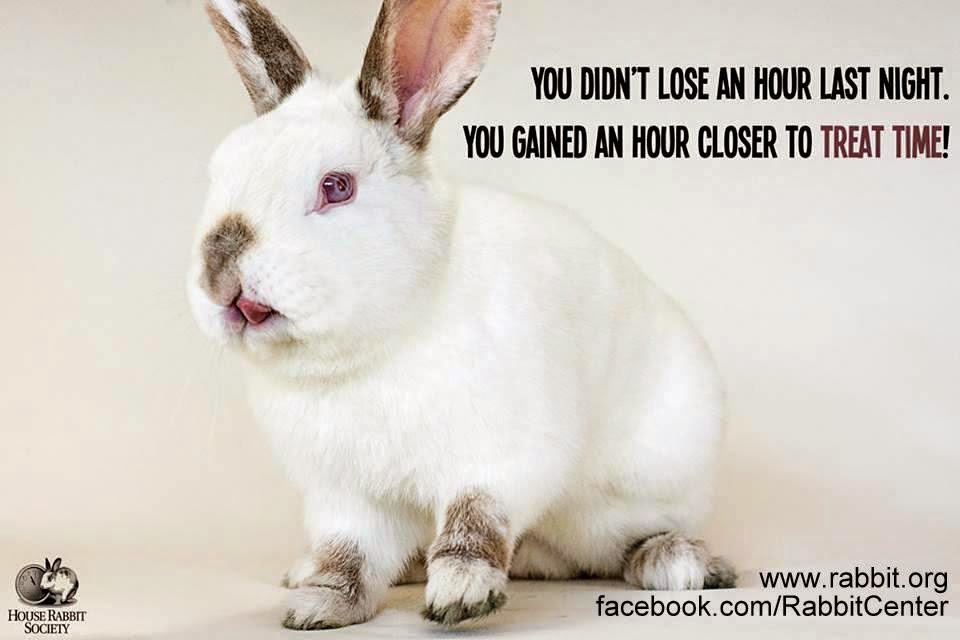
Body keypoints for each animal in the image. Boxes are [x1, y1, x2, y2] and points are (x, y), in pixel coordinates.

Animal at [189, 0, 735, 630]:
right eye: (218, 173)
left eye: (336, 187)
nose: (218, 274)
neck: (374, 348)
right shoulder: (346, 497)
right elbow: (349, 552)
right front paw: (320, 604)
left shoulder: (499, 458)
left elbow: (474, 520)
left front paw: (462, 595)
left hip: (638, 492)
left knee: (630, 539)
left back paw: (680, 563)